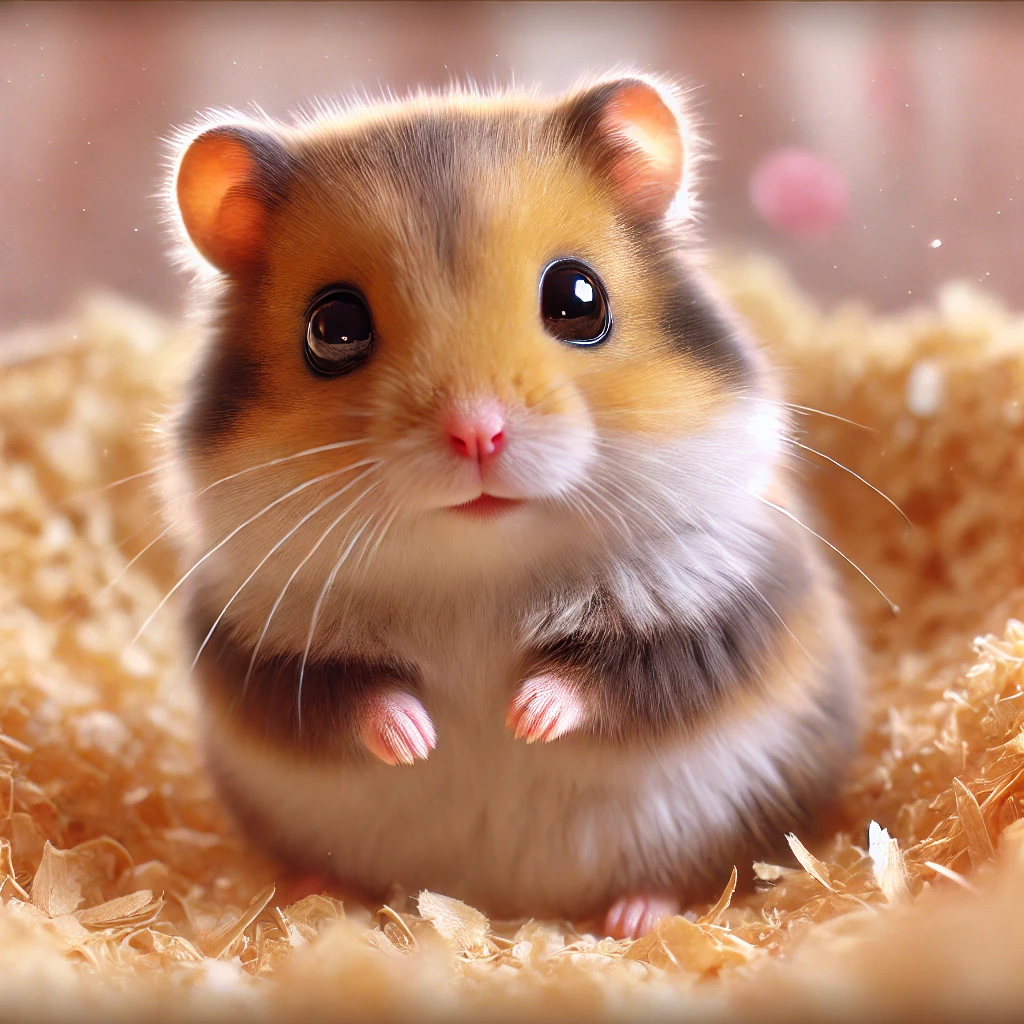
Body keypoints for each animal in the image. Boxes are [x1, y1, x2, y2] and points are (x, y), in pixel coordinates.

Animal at [162, 74, 861, 939]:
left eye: (578, 298)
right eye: (333, 327)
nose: (476, 432)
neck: (479, 563)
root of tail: (506, 902)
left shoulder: (709, 604)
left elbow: (605, 675)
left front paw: (519, 720)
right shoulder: (258, 642)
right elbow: (352, 696)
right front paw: (420, 742)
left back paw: (633, 919)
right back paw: (310, 894)